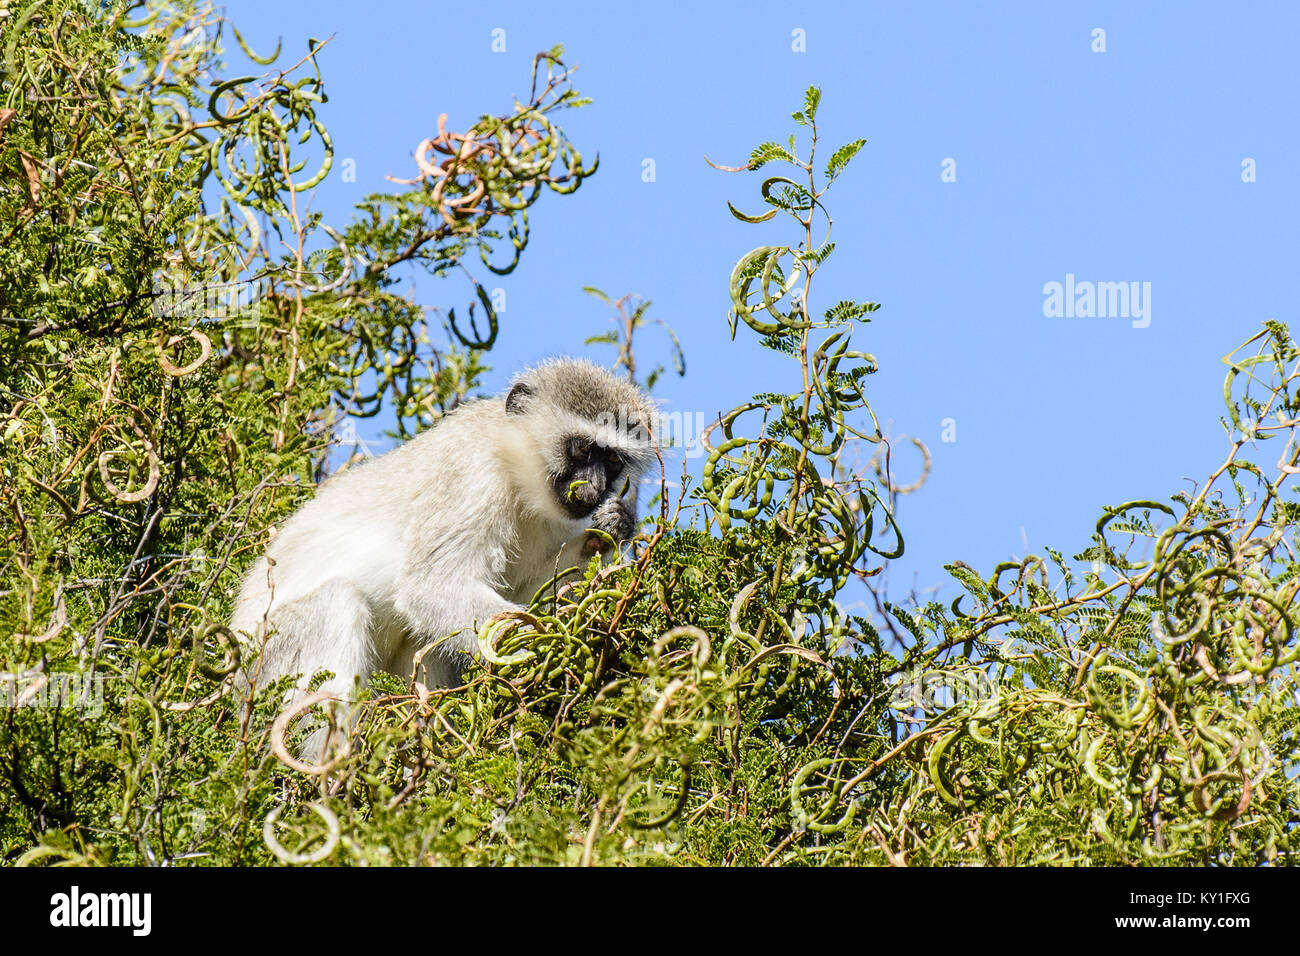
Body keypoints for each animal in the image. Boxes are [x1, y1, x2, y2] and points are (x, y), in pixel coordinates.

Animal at [229, 358, 655, 711]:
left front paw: (614, 525)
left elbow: (525, 591)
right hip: (269, 664)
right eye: (582, 449)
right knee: (339, 603)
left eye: (613, 460)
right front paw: (551, 642)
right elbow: (431, 587)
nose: (596, 487)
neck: (519, 475)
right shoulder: (472, 476)